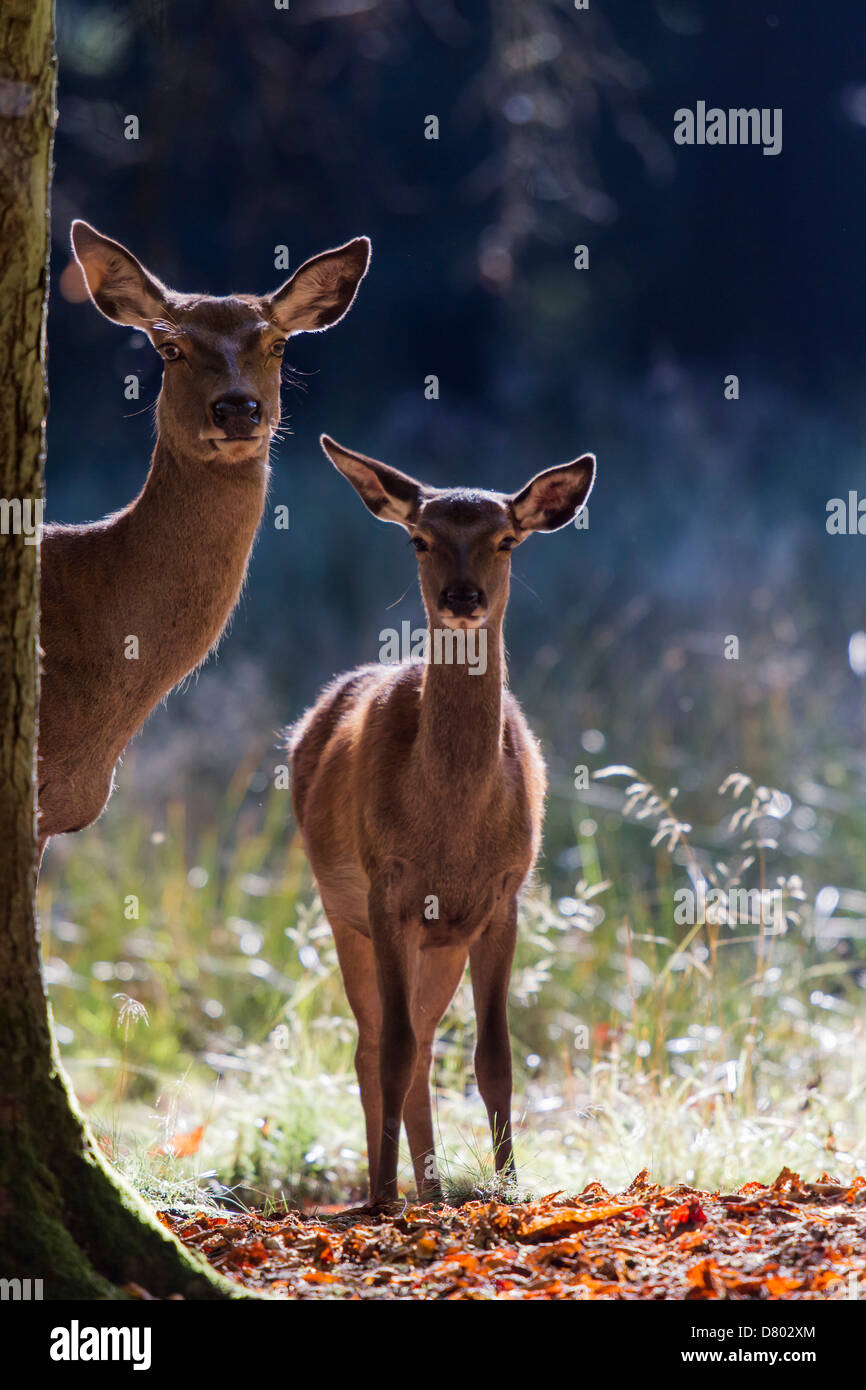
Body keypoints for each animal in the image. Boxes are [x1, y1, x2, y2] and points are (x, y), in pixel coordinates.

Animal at [288, 433, 596, 1205]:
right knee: (374, 1045)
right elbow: (390, 1051)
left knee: (426, 1044)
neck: (451, 831)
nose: (462, 598)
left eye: (507, 539)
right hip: (344, 911)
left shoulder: (504, 897)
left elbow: (496, 1057)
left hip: (442, 941)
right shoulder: (387, 890)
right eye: (419, 539)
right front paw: (381, 1197)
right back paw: (394, 1187)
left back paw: (431, 1189)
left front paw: (511, 1186)